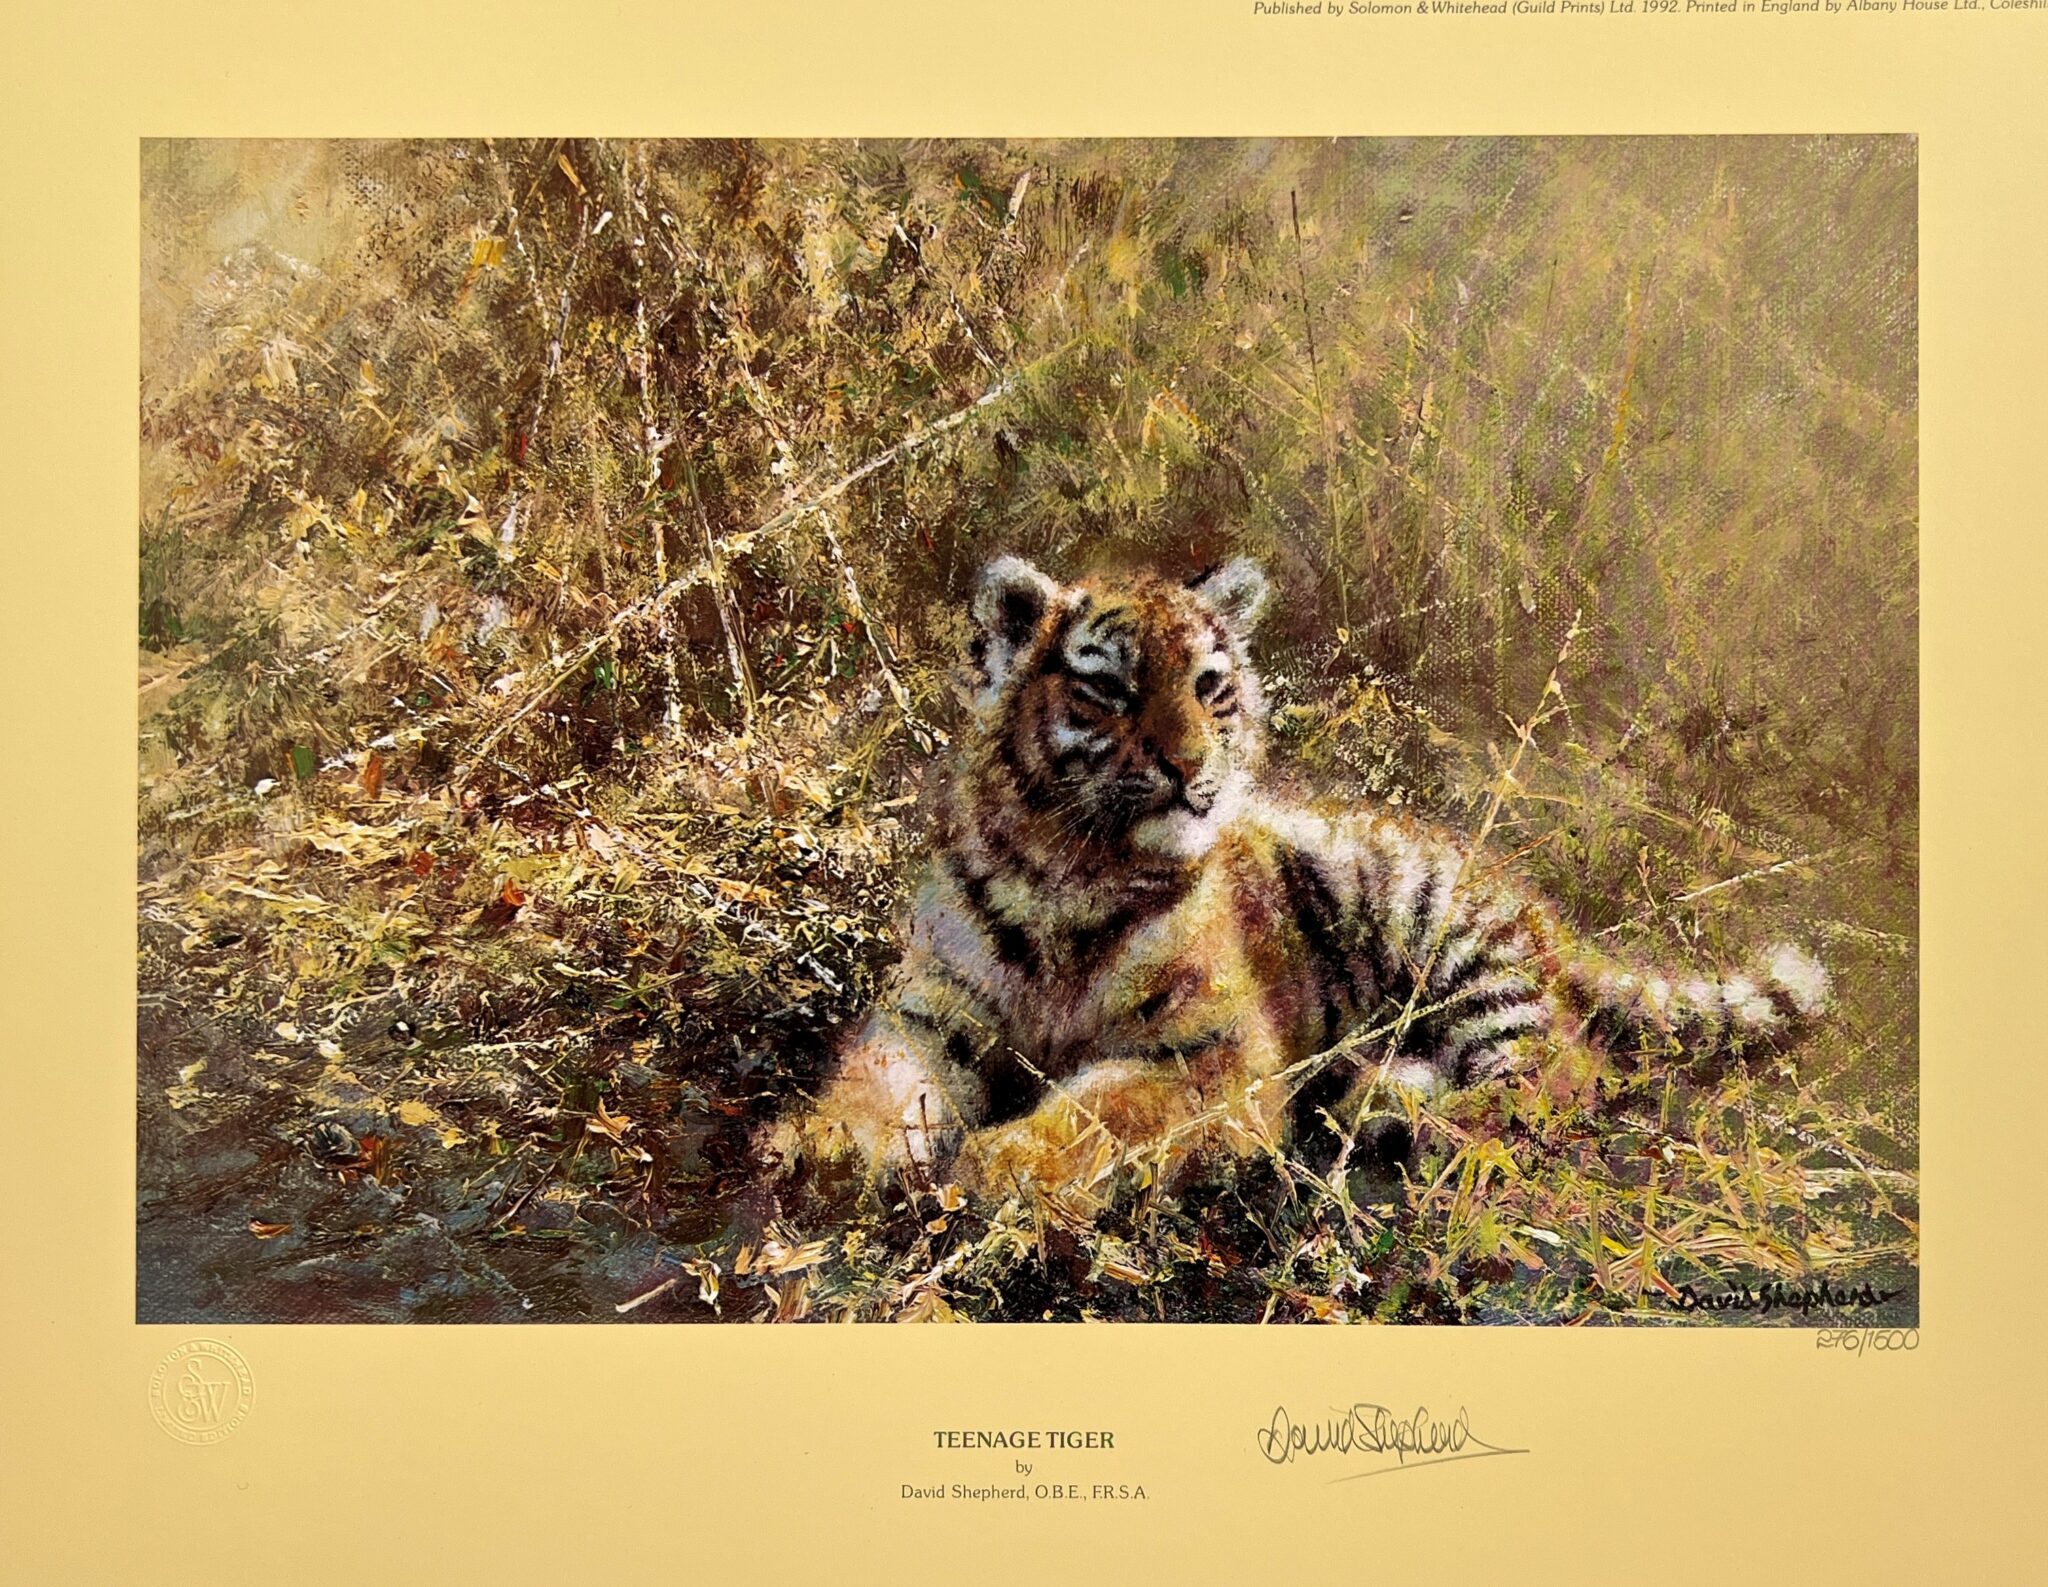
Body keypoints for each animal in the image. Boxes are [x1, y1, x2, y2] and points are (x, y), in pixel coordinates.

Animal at [763, 554, 1831, 1207]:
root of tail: (1538, 906)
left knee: (1557, 1076)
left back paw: (1406, 1113)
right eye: (1106, 688)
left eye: (1210, 686)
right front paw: (816, 1144)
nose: (1191, 769)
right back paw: (1381, 1090)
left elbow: (1103, 1103)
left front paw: (1008, 1160)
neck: (1072, 873)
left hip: (1445, 937)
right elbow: (880, 1076)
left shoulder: (1217, 1057)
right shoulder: (931, 1012)